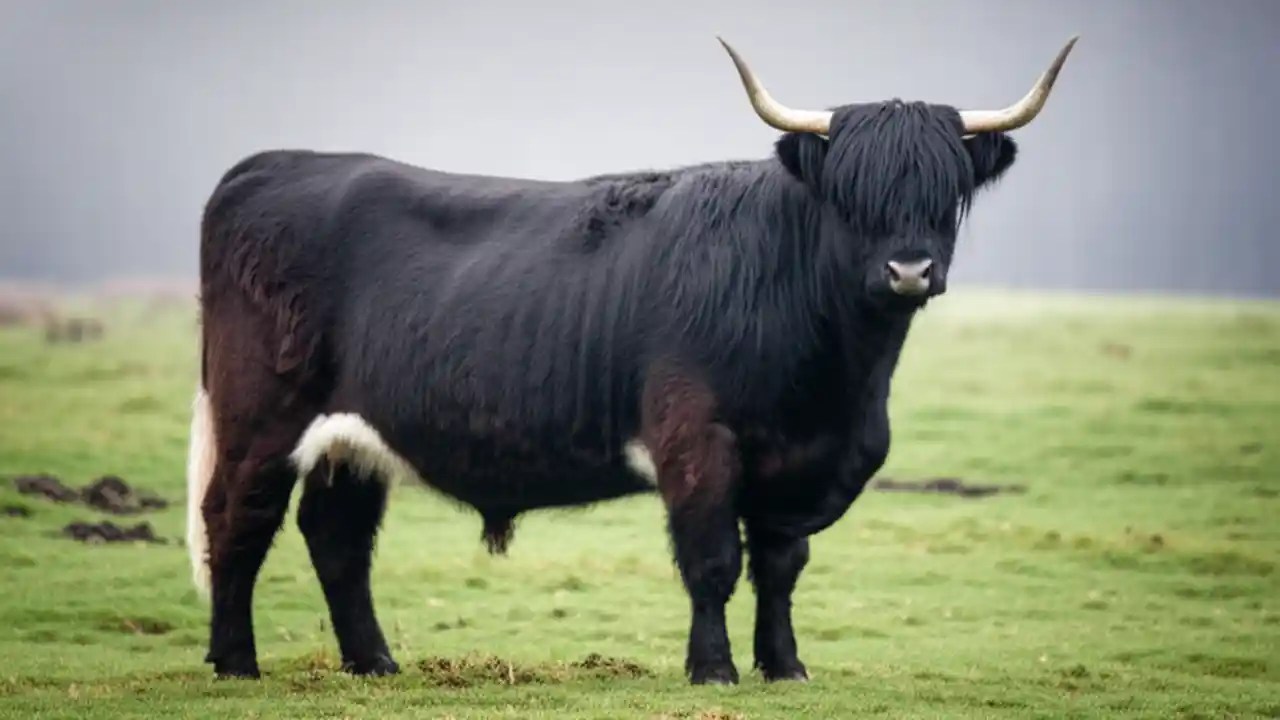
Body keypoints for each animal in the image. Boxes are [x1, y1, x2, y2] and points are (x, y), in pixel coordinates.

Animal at [185, 35, 1078, 684]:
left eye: (946, 191)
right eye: (851, 194)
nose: (908, 270)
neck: (835, 383)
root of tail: (271, 165)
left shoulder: (803, 469)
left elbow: (781, 567)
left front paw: (785, 666)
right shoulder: (697, 441)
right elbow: (714, 561)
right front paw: (713, 670)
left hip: (353, 438)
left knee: (336, 538)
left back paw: (374, 664)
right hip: (261, 418)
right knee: (236, 519)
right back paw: (236, 663)